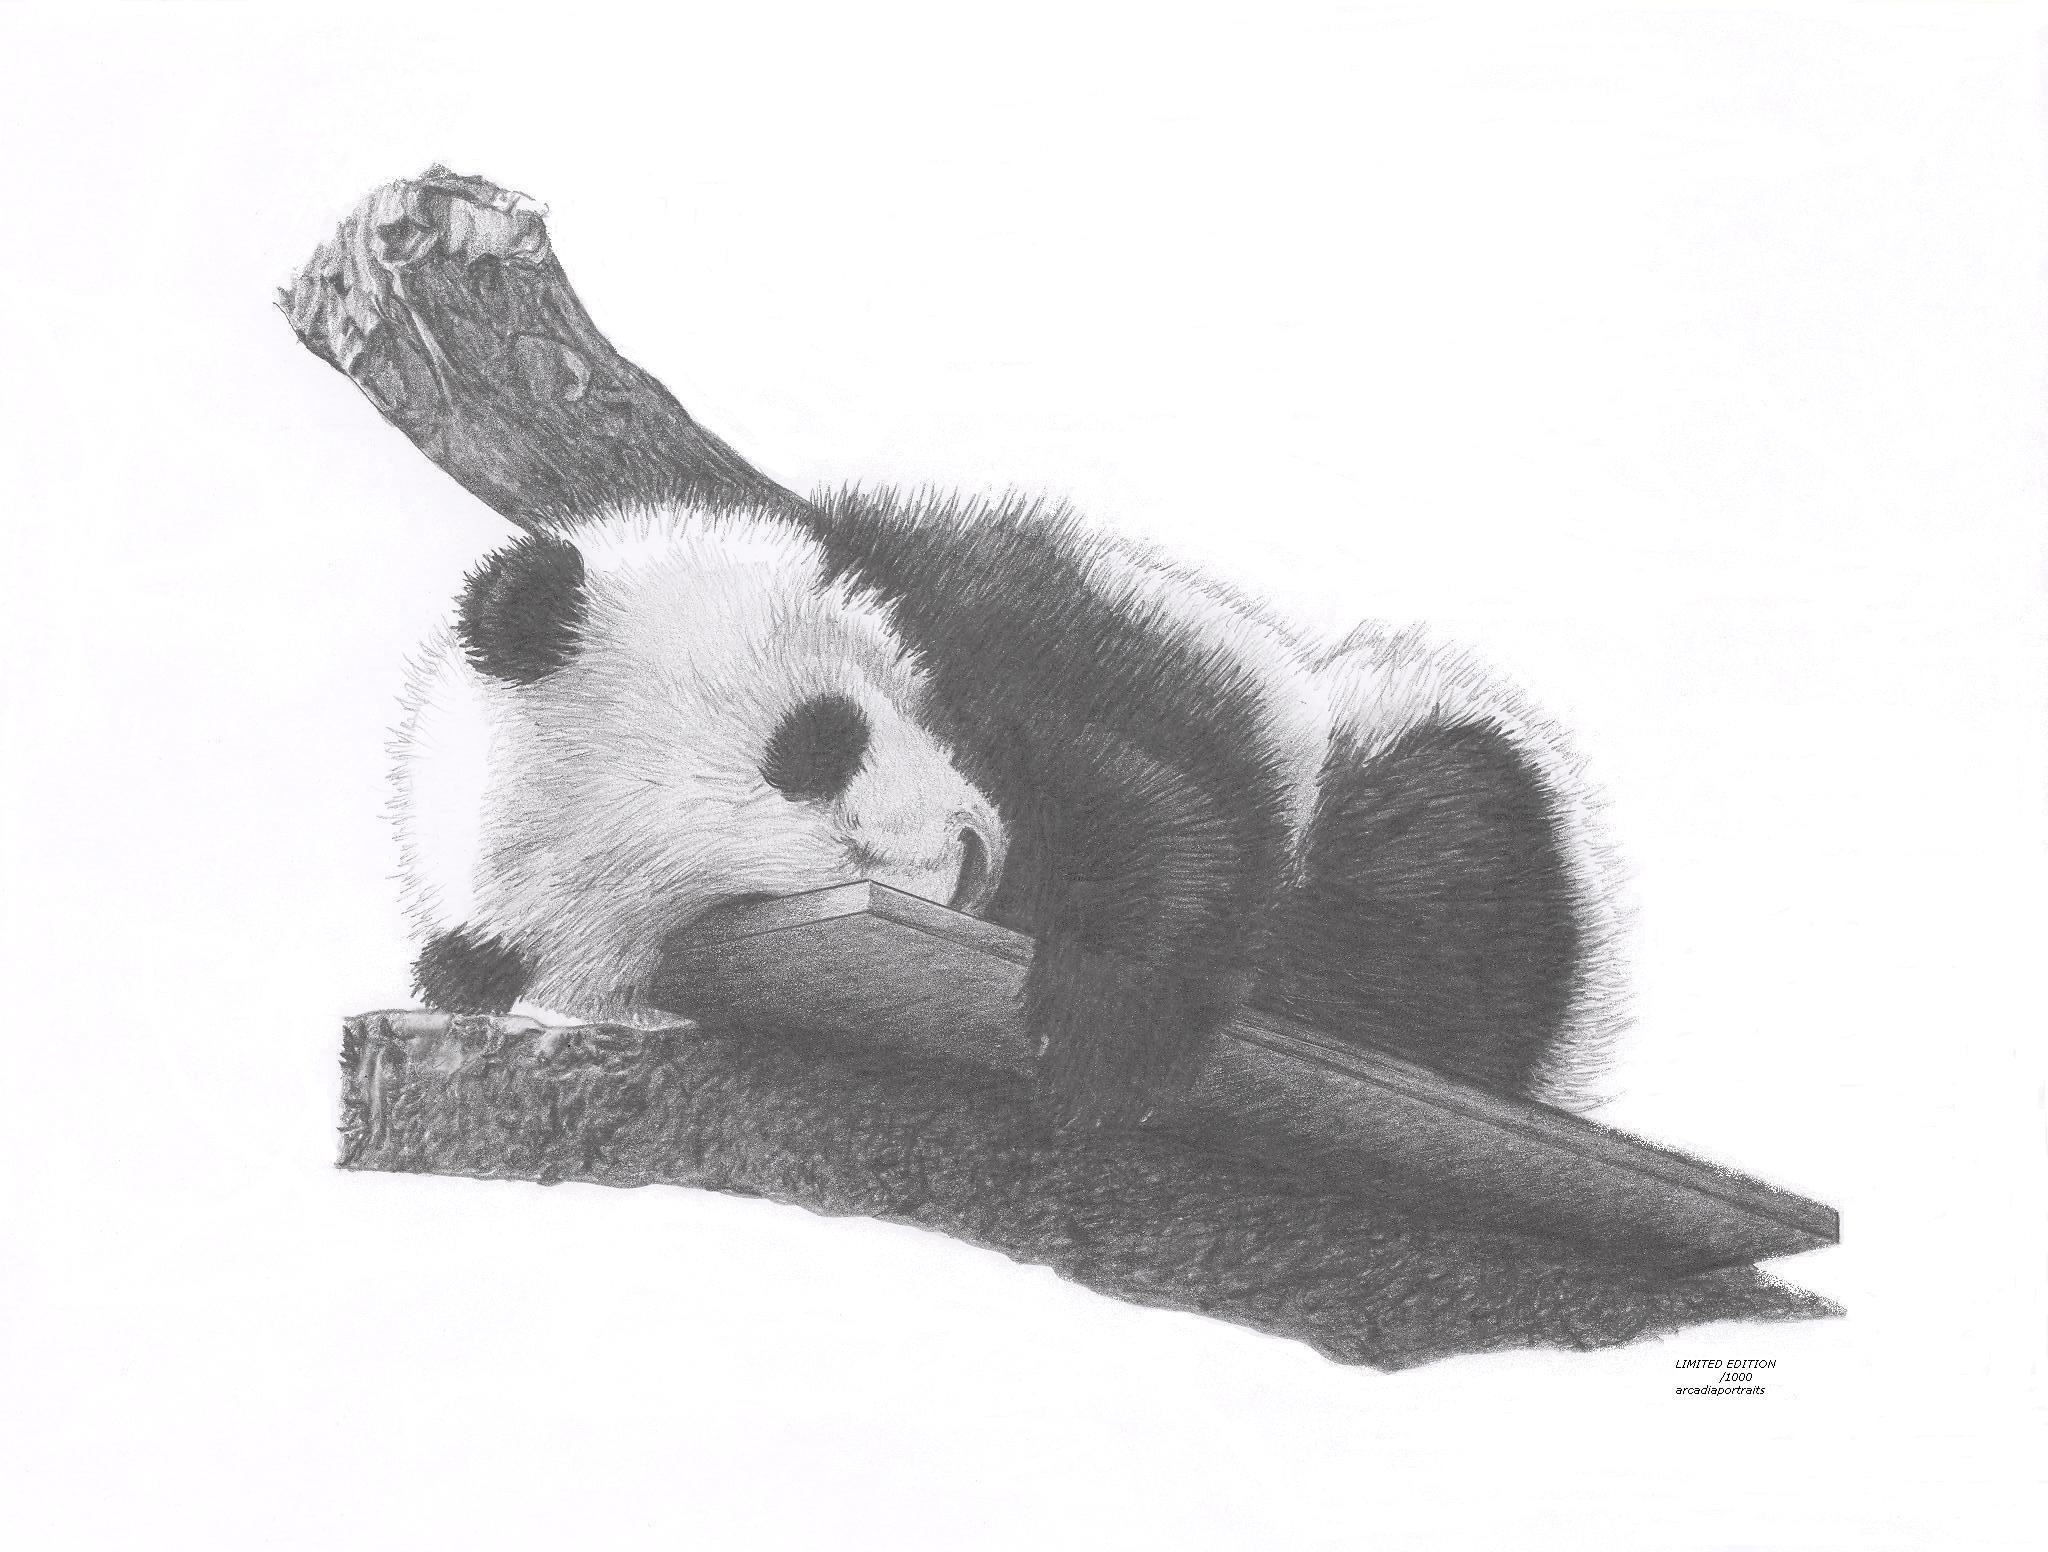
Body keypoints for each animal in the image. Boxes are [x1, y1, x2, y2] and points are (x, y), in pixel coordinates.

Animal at [392, 485, 1625, 1128]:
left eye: (813, 745)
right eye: (732, 909)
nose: (948, 870)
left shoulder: (984, 604)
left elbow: (1150, 797)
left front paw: (1109, 1018)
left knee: (1452, 842)